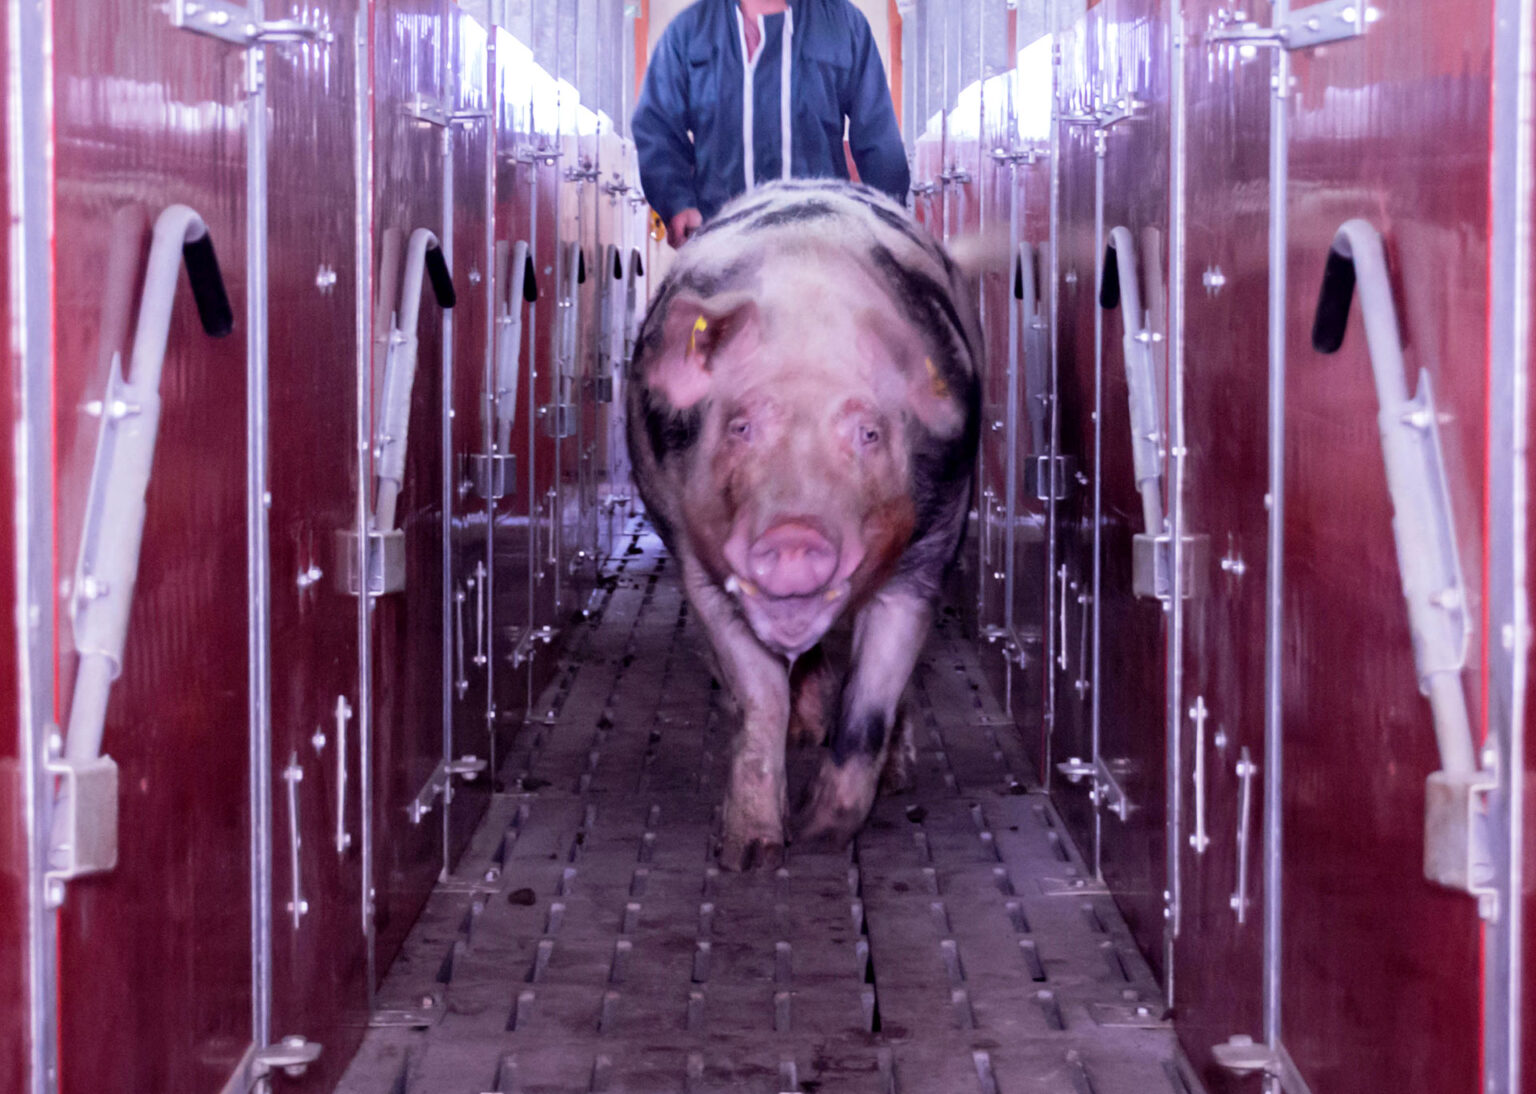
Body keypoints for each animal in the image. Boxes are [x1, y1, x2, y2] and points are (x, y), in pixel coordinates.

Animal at [626, 180, 981, 870]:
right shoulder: (695, 565)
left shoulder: (930, 550)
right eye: (741, 426)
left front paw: (820, 835)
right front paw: (750, 855)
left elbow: (871, 704)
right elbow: (758, 695)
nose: (794, 536)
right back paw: (805, 730)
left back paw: (896, 775)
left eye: (869, 434)